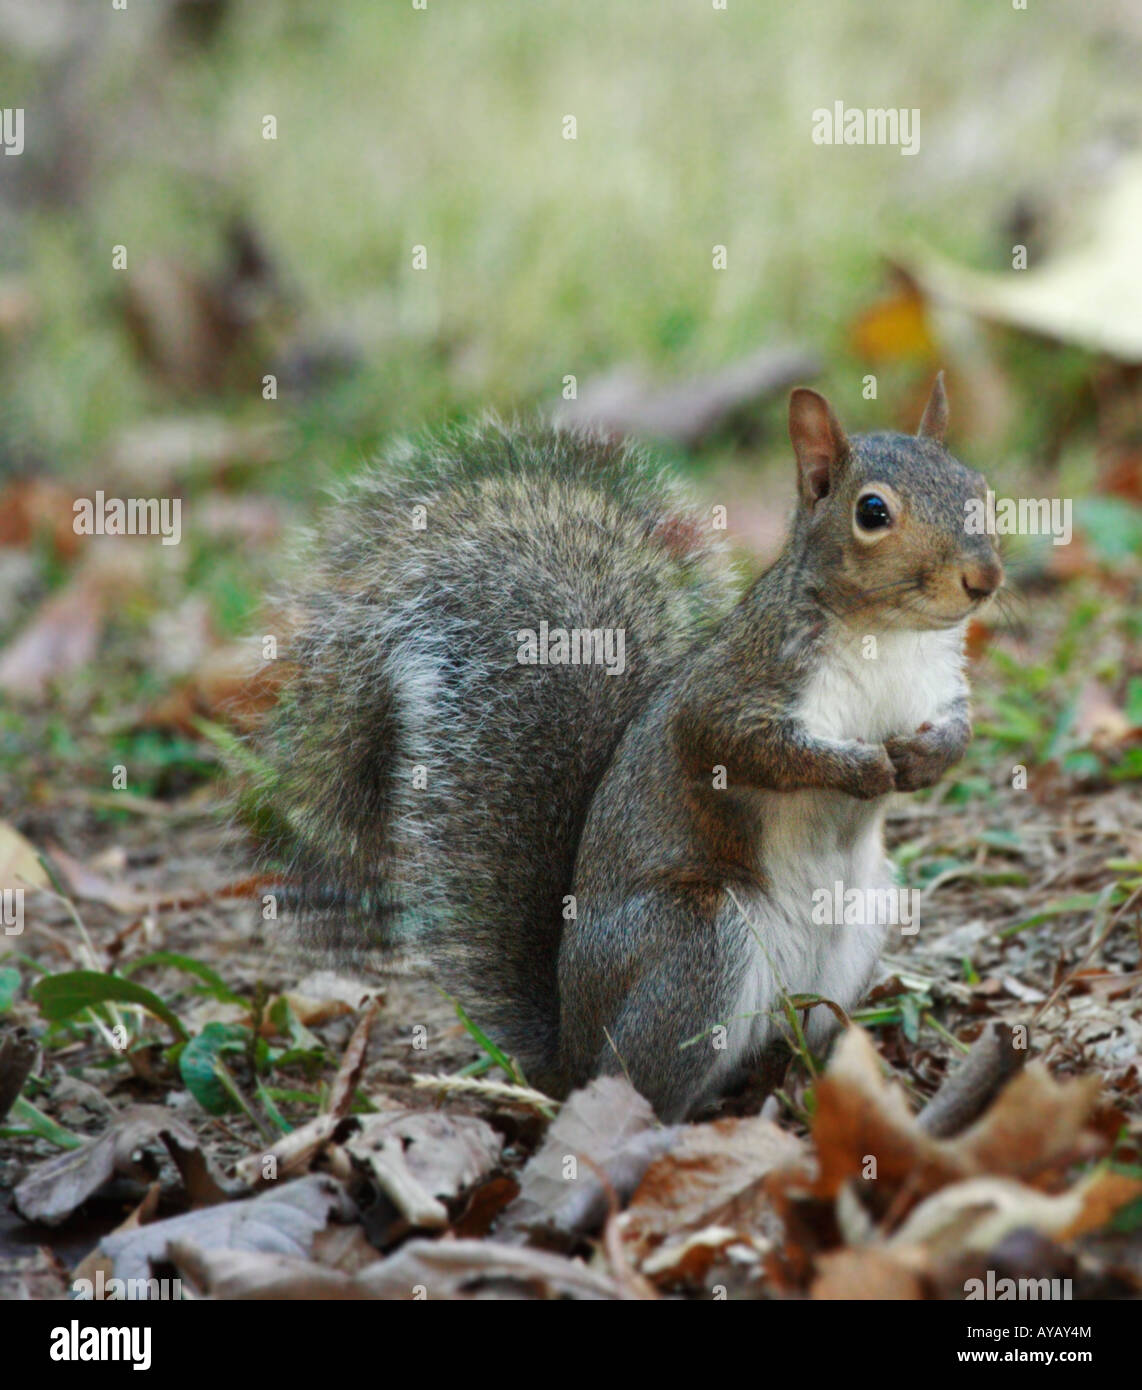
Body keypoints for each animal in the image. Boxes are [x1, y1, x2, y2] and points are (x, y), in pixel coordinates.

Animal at [259, 374, 1002, 1121]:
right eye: (872, 512)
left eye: (977, 486)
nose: (984, 579)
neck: (889, 635)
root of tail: (572, 1051)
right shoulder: (738, 686)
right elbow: (739, 743)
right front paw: (859, 766)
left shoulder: (939, 688)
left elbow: (960, 729)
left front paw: (928, 759)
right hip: (693, 940)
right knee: (642, 1077)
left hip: (858, 927)